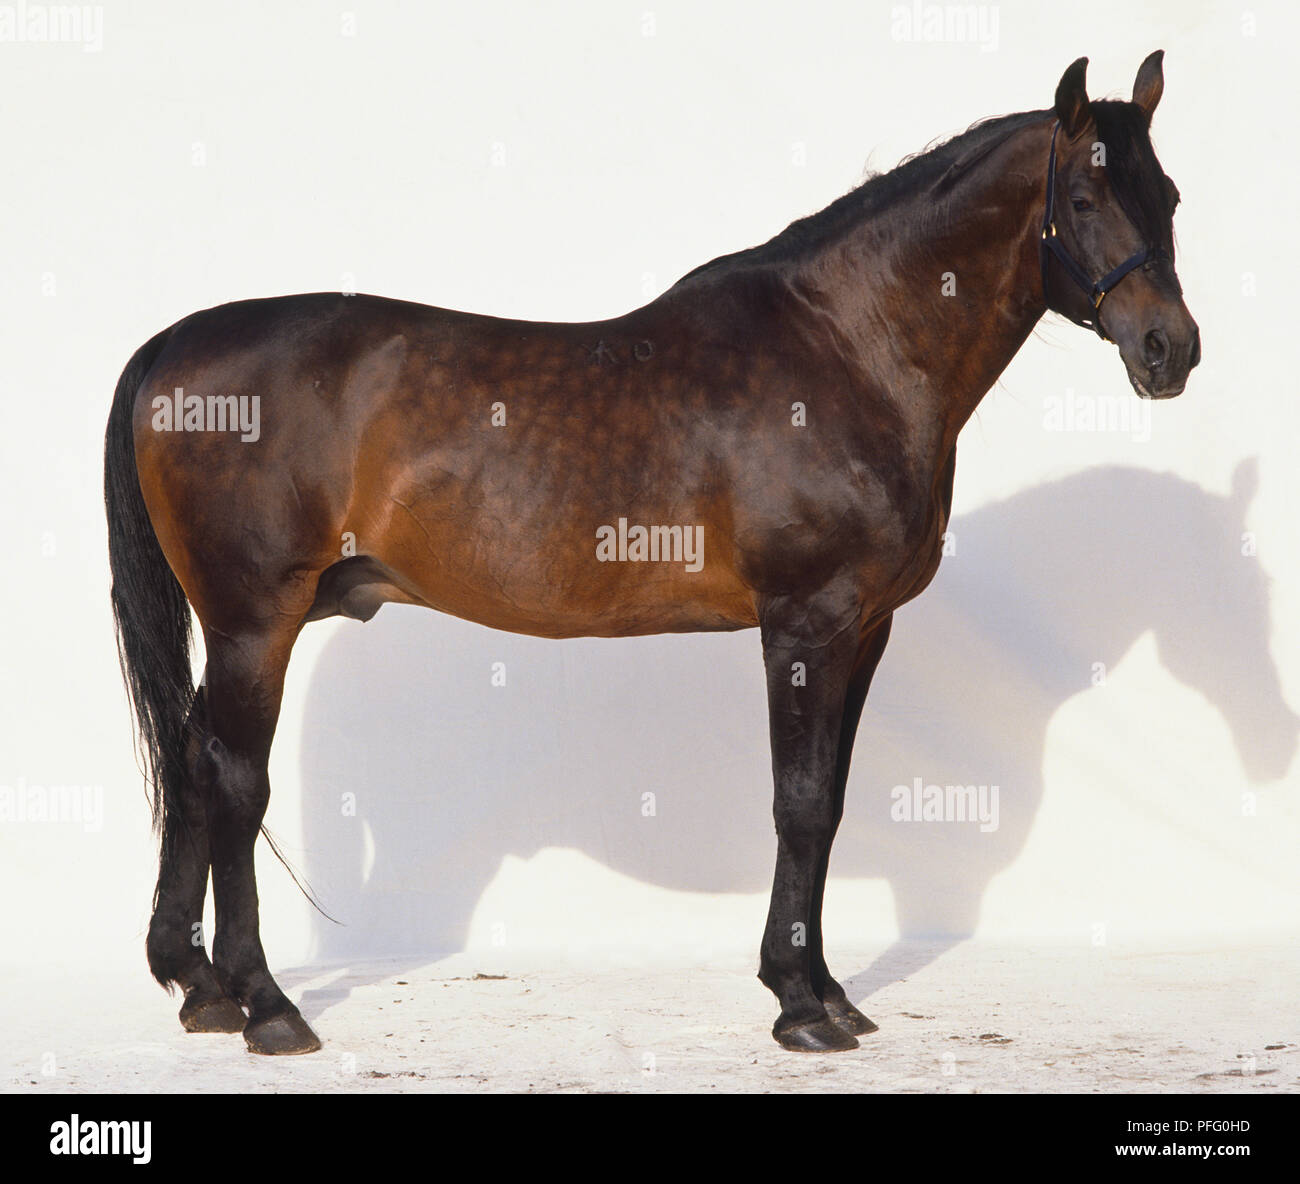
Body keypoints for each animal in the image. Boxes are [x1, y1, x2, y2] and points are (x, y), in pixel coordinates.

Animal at [105, 53, 1200, 1055]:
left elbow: (833, 800)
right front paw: (800, 1005)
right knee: (234, 781)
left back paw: (198, 988)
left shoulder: (867, 628)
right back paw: (267, 1005)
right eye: (1085, 195)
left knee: (194, 763)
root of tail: (173, 346)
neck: (848, 350)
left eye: (1171, 196)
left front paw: (827, 990)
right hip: (256, 623)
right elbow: (801, 802)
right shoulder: (804, 621)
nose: (1170, 350)